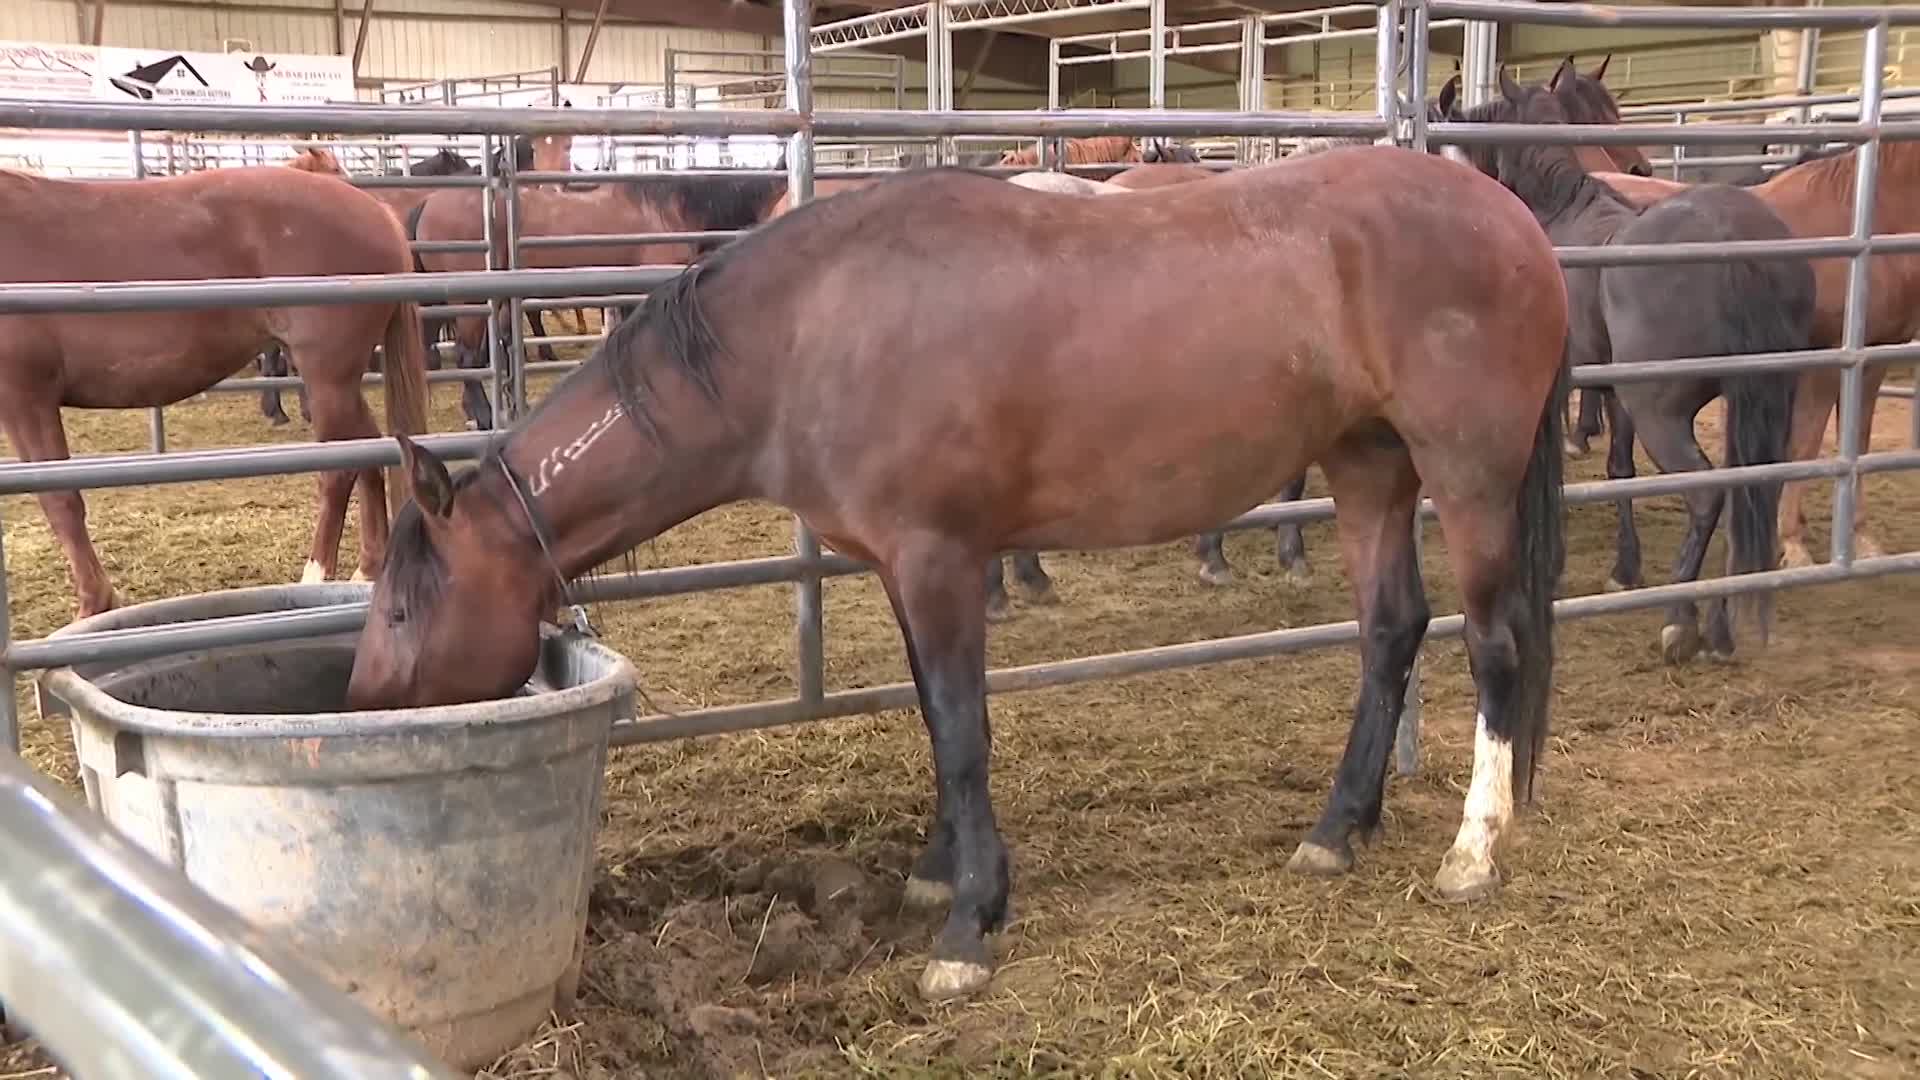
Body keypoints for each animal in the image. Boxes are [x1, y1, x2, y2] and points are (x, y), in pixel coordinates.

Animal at [0, 164, 431, 616]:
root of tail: (378, 211)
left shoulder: (24, 397)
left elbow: (60, 500)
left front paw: (94, 604)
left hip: (327, 377)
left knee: (338, 470)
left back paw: (314, 576)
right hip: (339, 382)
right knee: (368, 452)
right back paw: (367, 568)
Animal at [345, 152, 1572, 1004]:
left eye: (402, 605)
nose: (356, 705)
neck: (809, 332)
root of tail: (1508, 214)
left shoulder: (941, 558)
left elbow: (962, 724)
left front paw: (968, 928)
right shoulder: (904, 566)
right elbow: (937, 724)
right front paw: (942, 872)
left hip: (1466, 474)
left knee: (1495, 642)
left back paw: (1475, 848)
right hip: (1367, 466)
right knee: (1390, 630)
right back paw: (1338, 827)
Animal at [1447, 72, 1812, 663]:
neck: (1559, 207)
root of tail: (1735, 244)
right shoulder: (1613, 386)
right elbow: (1620, 469)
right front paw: (1624, 567)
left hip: (1662, 413)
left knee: (1708, 494)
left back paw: (1681, 623)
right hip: (1760, 402)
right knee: (1748, 490)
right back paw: (1720, 630)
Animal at [1587, 145, 1920, 571]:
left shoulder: (1872, 359)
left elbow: (1857, 445)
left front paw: (1861, 540)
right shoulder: (1823, 361)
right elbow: (1804, 446)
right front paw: (1792, 544)